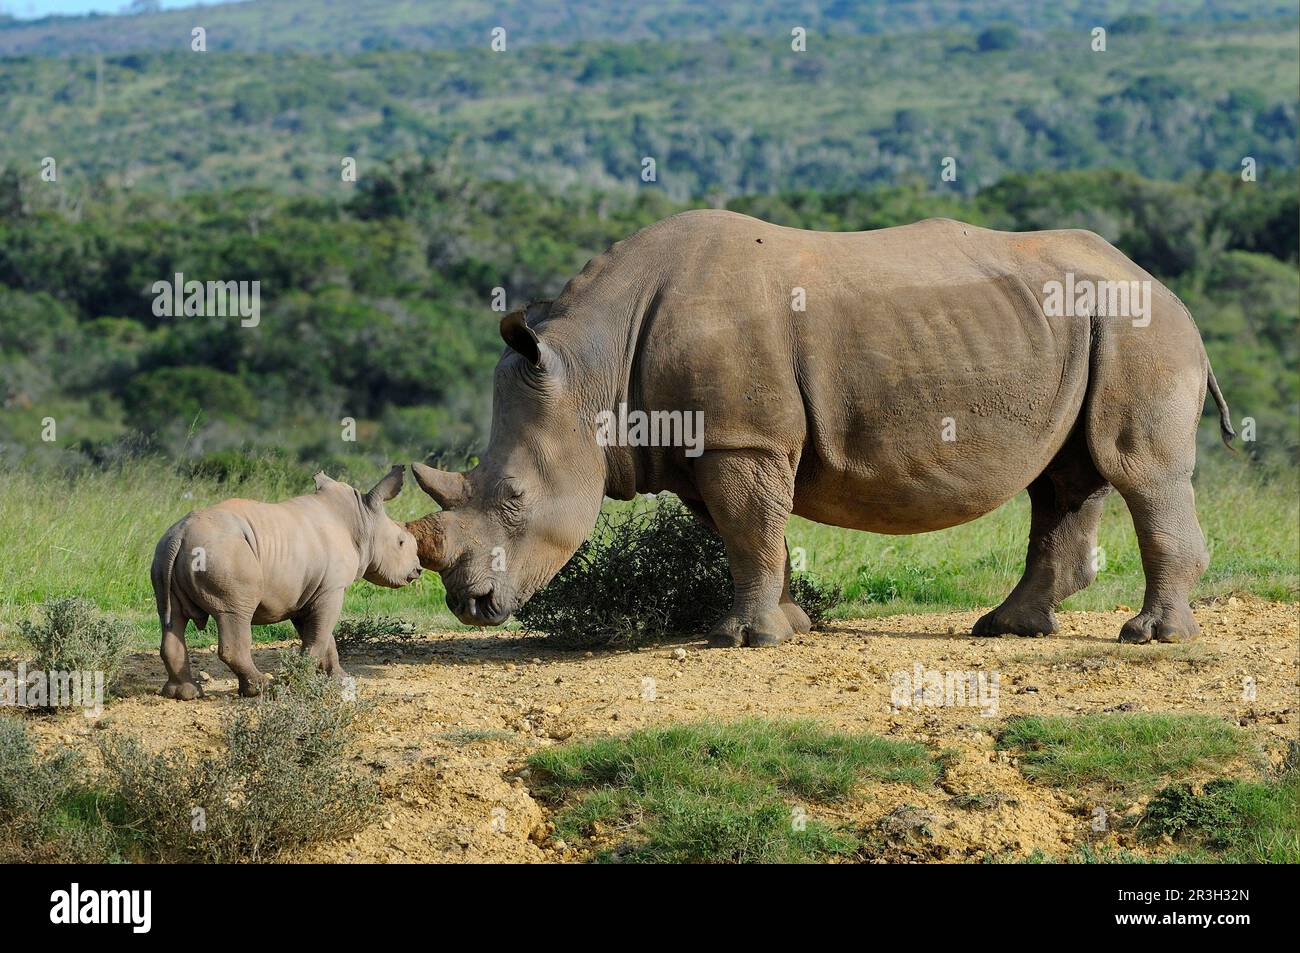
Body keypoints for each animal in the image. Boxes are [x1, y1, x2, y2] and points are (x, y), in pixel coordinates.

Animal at [151, 465, 421, 698]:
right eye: (401, 542)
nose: (417, 570)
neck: (363, 520)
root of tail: (180, 534)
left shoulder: (307, 592)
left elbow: (322, 637)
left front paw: (339, 679)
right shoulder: (331, 589)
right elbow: (319, 636)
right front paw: (298, 680)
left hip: (163, 554)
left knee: (171, 616)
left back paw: (185, 693)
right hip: (223, 554)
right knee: (235, 613)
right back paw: (261, 687)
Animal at [407, 211, 1233, 648]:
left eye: (514, 496)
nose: (468, 604)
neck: (591, 367)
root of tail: (1165, 287)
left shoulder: (742, 436)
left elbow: (749, 529)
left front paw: (743, 640)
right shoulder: (713, 440)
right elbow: (749, 534)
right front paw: (789, 623)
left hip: (1138, 325)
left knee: (1140, 471)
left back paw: (1151, 636)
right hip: (1085, 326)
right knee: (1065, 477)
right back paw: (1008, 628)